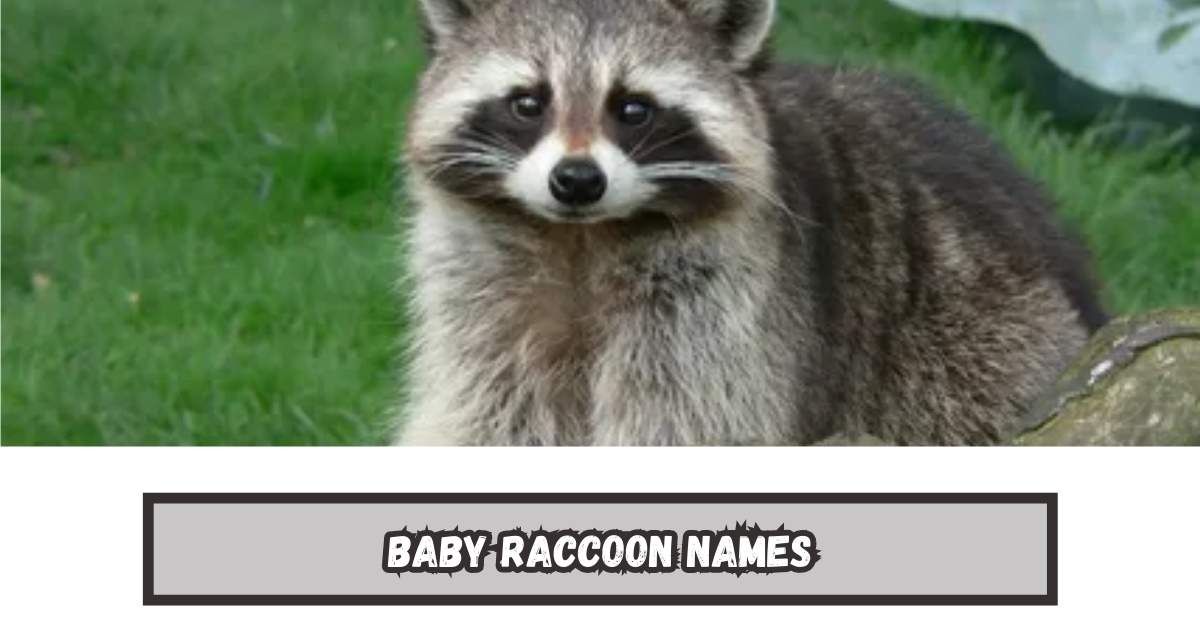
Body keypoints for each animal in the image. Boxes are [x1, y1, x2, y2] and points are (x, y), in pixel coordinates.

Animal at [395, 0, 1107, 445]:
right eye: (527, 103)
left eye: (633, 108)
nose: (576, 180)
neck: (581, 237)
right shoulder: (484, 301)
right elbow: (494, 413)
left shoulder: (722, 312)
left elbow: (686, 424)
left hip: (975, 345)